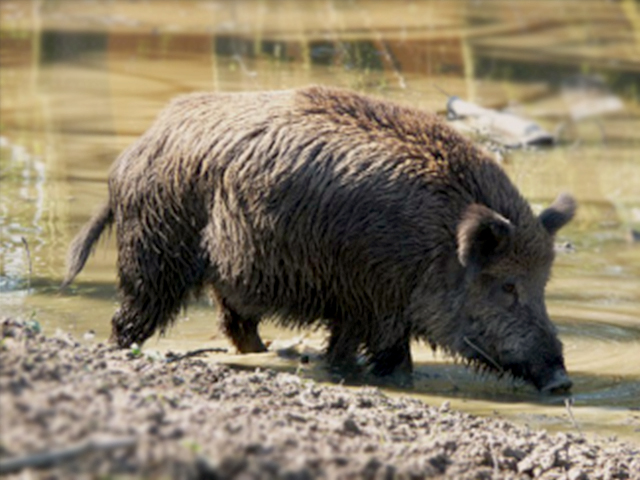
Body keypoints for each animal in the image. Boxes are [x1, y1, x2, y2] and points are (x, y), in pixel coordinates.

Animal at [63, 86, 576, 393]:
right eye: (507, 285)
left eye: (543, 285)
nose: (561, 381)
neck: (434, 242)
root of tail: (133, 153)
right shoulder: (379, 299)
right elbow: (392, 358)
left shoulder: (356, 302)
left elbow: (344, 350)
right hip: (155, 254)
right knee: (128, 319)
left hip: (224, 274)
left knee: (235, 325)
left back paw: (265, 353)